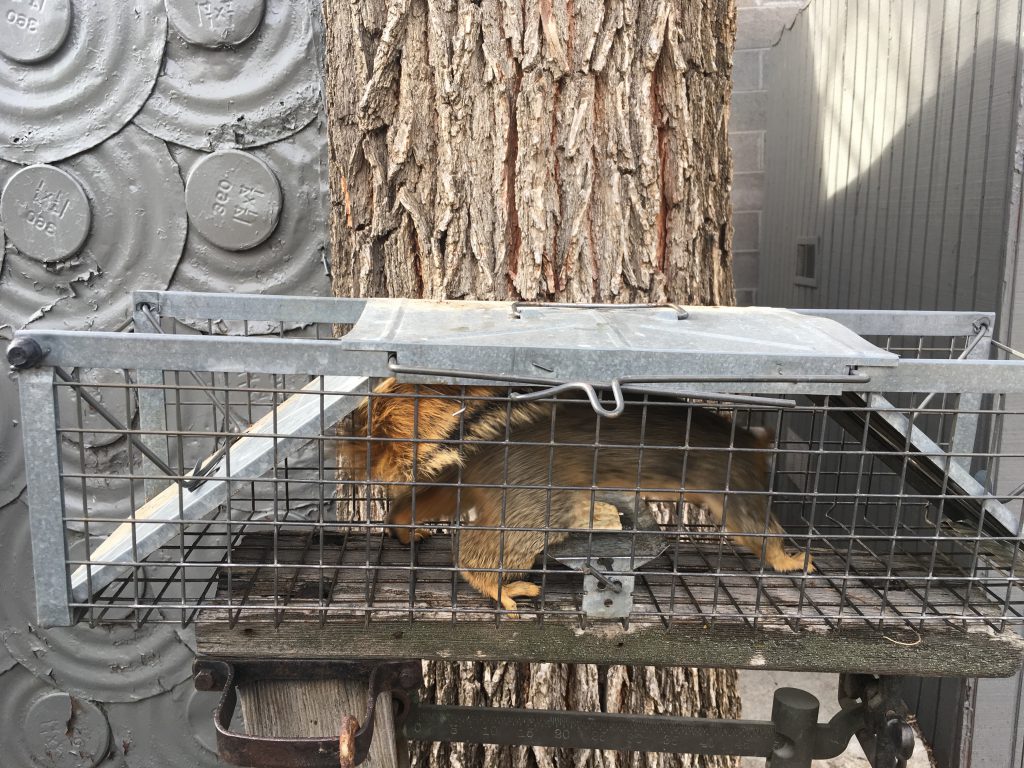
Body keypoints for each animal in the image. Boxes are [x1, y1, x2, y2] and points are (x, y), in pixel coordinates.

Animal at [339, 379, 812, 612]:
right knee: (483, 552)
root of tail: (485, 455)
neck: (740, 444)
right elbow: (755, 529)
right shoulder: (735, 479)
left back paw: (404, 530)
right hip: (537, 500)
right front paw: (790, 559)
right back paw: (500, 588)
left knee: (411, 505)